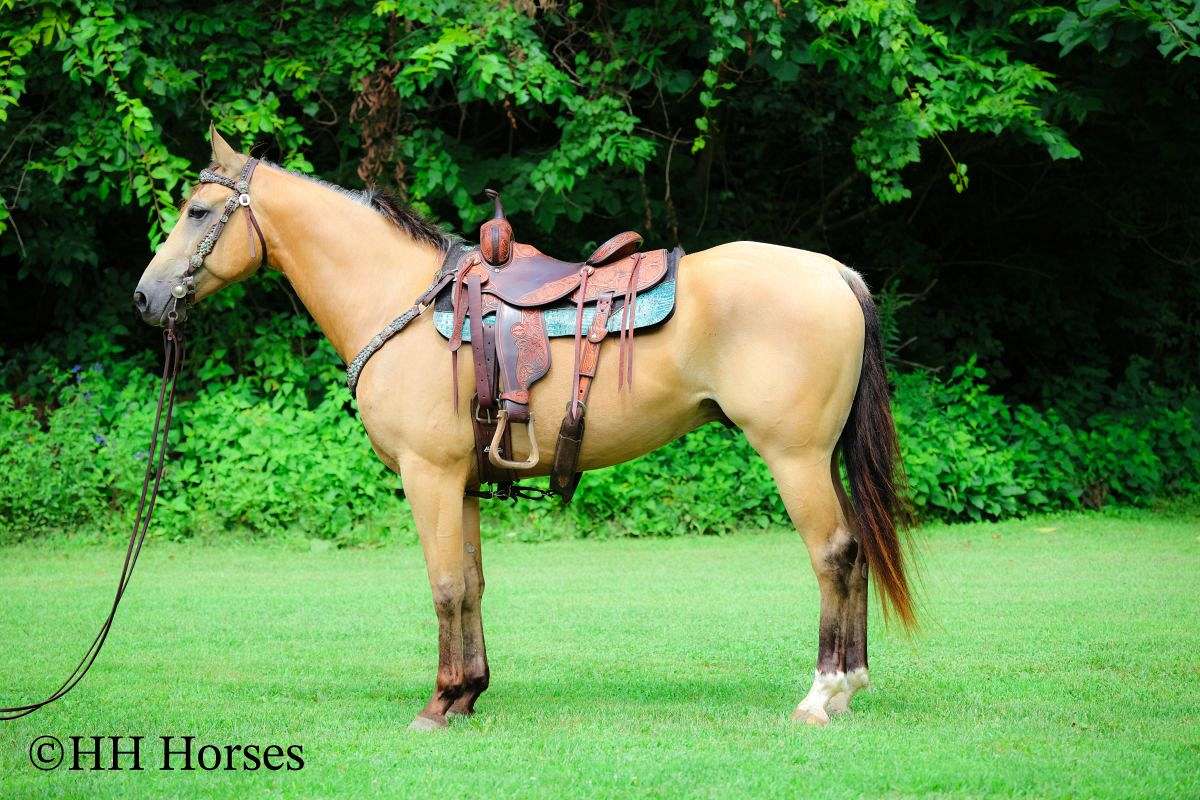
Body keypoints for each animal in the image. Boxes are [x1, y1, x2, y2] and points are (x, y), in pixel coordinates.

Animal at [133, 128, 912, 730]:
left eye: (198, 210)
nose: (145, 297)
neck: (401, 301)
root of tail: (834, 273)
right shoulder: (464, 482)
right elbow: (473, 582)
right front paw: (468, 694)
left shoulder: (429, 476)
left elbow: (445, 583)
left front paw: (439, 704)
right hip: (822, 457)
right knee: (857, 553)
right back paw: (850, 689)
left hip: (795, 457)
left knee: (834, 554)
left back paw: (821, 695)